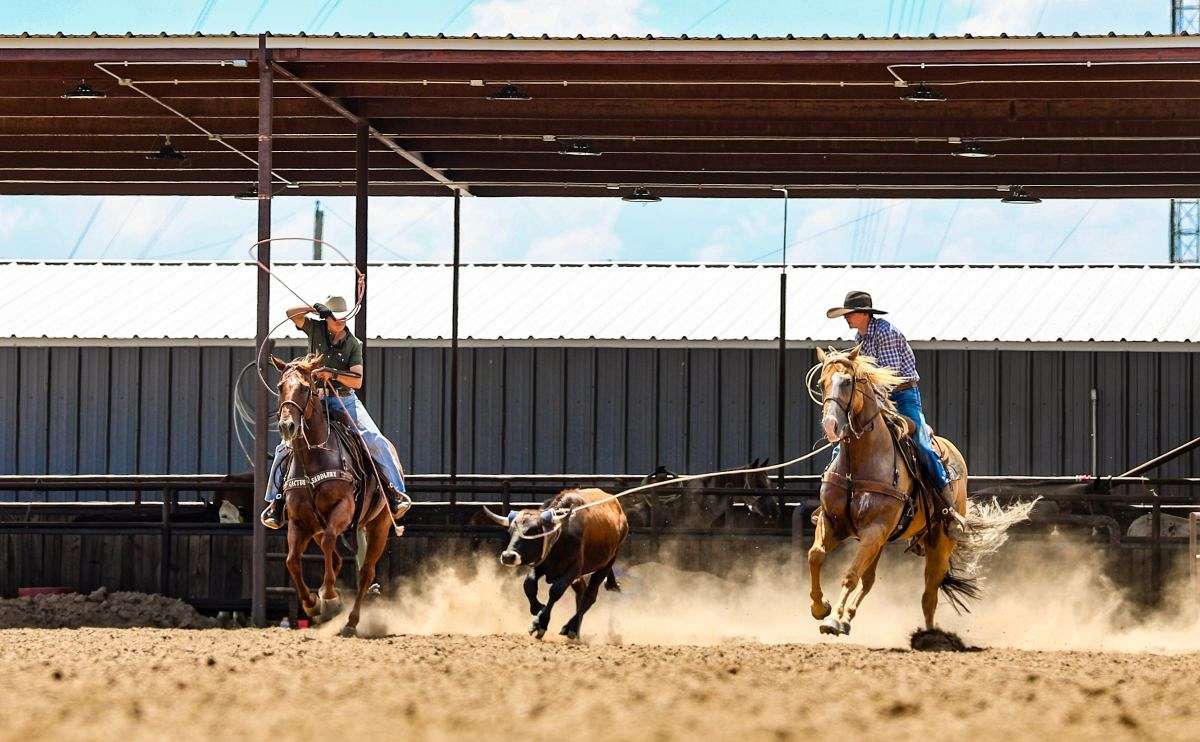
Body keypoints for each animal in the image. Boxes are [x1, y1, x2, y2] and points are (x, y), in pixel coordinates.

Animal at [269, 353, 395, 637]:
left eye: (306, 388)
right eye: (280, 387)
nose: (287, 426)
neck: (313, 457)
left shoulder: (342, 509)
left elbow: (328, 543)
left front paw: (327, 595)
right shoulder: (299, 521)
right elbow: (292, 560)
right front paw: (313, 604)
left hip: (379, 526)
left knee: (365, 573)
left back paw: (350, 622)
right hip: (316, 527)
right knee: (336, 560)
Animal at [808, 346, 1033, 636]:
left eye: (848, 381)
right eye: (821, 383)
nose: (831, 426)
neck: (858, 465)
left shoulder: (874, 530)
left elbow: (850, 575)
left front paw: (832, 620)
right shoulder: (835, 522)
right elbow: (816, 555)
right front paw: (820, 607)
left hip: (939, 541)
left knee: (929, 596)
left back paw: (929, 636)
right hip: (883, 541)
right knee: (870, 580)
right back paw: (849, 618)